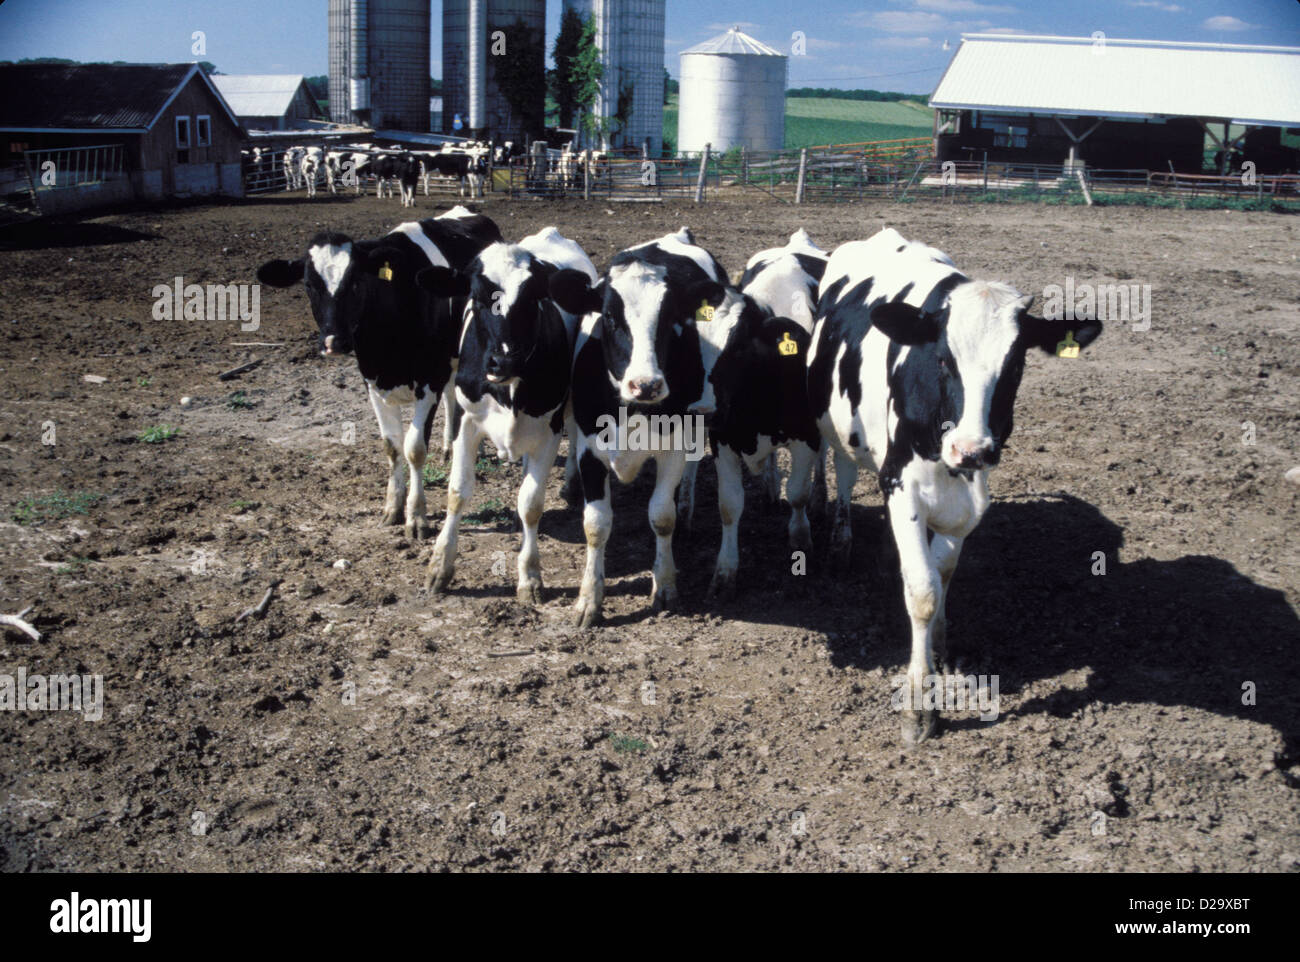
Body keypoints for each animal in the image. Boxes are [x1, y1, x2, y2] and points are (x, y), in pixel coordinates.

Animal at [255, 207, 504, 539]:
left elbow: (414, 449)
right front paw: (392, 509)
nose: (334, 342)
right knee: (453, 397)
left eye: (356, 281)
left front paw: (417, 517)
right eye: (309, 285)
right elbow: (392, 447)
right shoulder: (373, 383)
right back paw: (449, 446)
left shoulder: (429, 380)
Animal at [420, 227, 598, 603]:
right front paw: (439, 566)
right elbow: (457, 492)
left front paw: (530, 577)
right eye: (476, 296)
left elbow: (531, 502)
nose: (504, 361)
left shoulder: (549, 430)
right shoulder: (466, 421)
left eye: (533, 299)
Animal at [547, 227, 727, 627]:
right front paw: (589, 599)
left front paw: (666, 586)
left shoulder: (673, 446)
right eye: (609, 318)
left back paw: (687, 506)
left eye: (671, 319)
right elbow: (596, 524)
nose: (645, 385)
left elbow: (661, 515)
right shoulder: (590, 450)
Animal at [808, 227, 1102, 743]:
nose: (972, 449)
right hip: (837, 426)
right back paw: (840, 544)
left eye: (1016, 364)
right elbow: (923, 591)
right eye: (943, 359)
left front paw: (942, 650)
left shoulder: (971, 498)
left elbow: (942, 572)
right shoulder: (899, 482)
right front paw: (919, 708)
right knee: (843, 472)